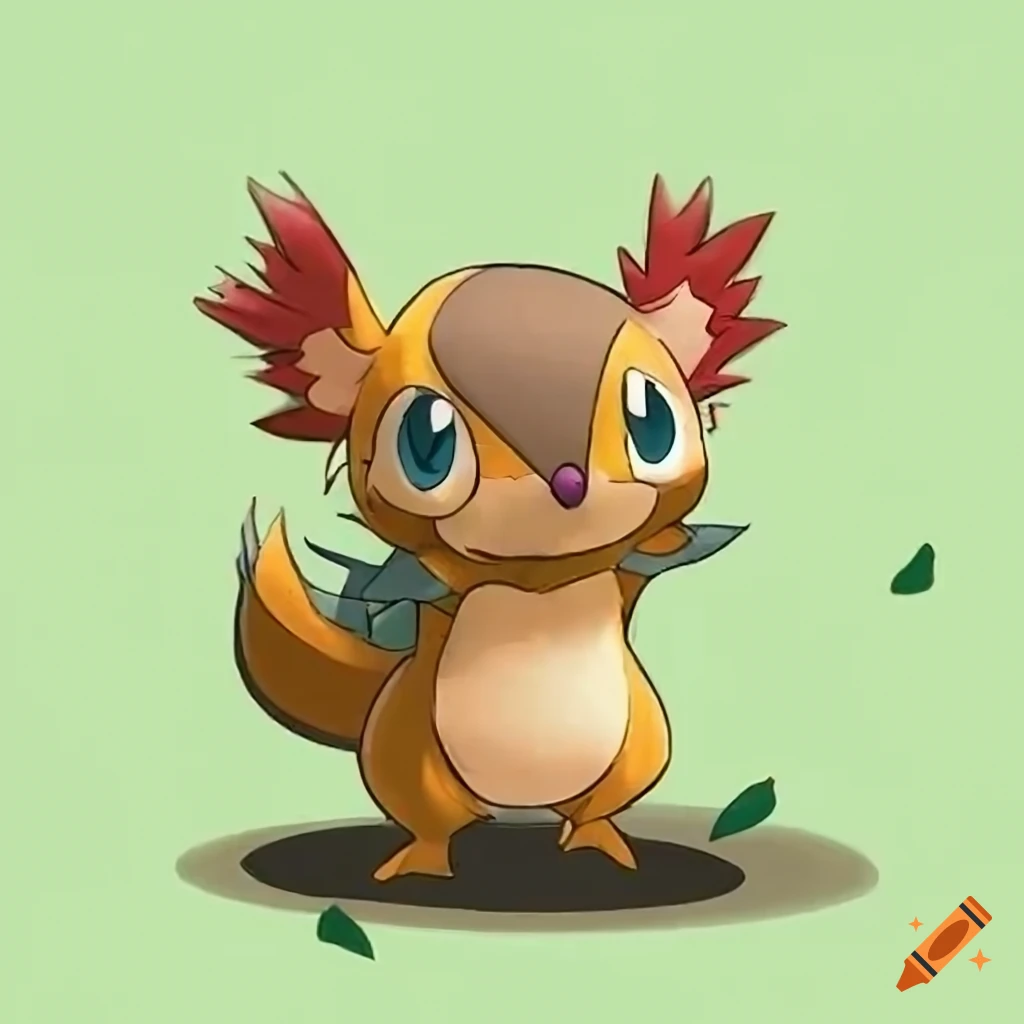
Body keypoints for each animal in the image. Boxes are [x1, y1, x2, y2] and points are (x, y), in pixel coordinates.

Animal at [194, 173, 784, 882]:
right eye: (427, 444)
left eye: (653, 424)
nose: (568, 483)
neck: (535, 579)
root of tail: (515, 809)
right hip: (406, 751)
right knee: (427, 815)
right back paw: (420, 865)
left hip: (640, 742)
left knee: (597, 805)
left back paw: (598, 844)